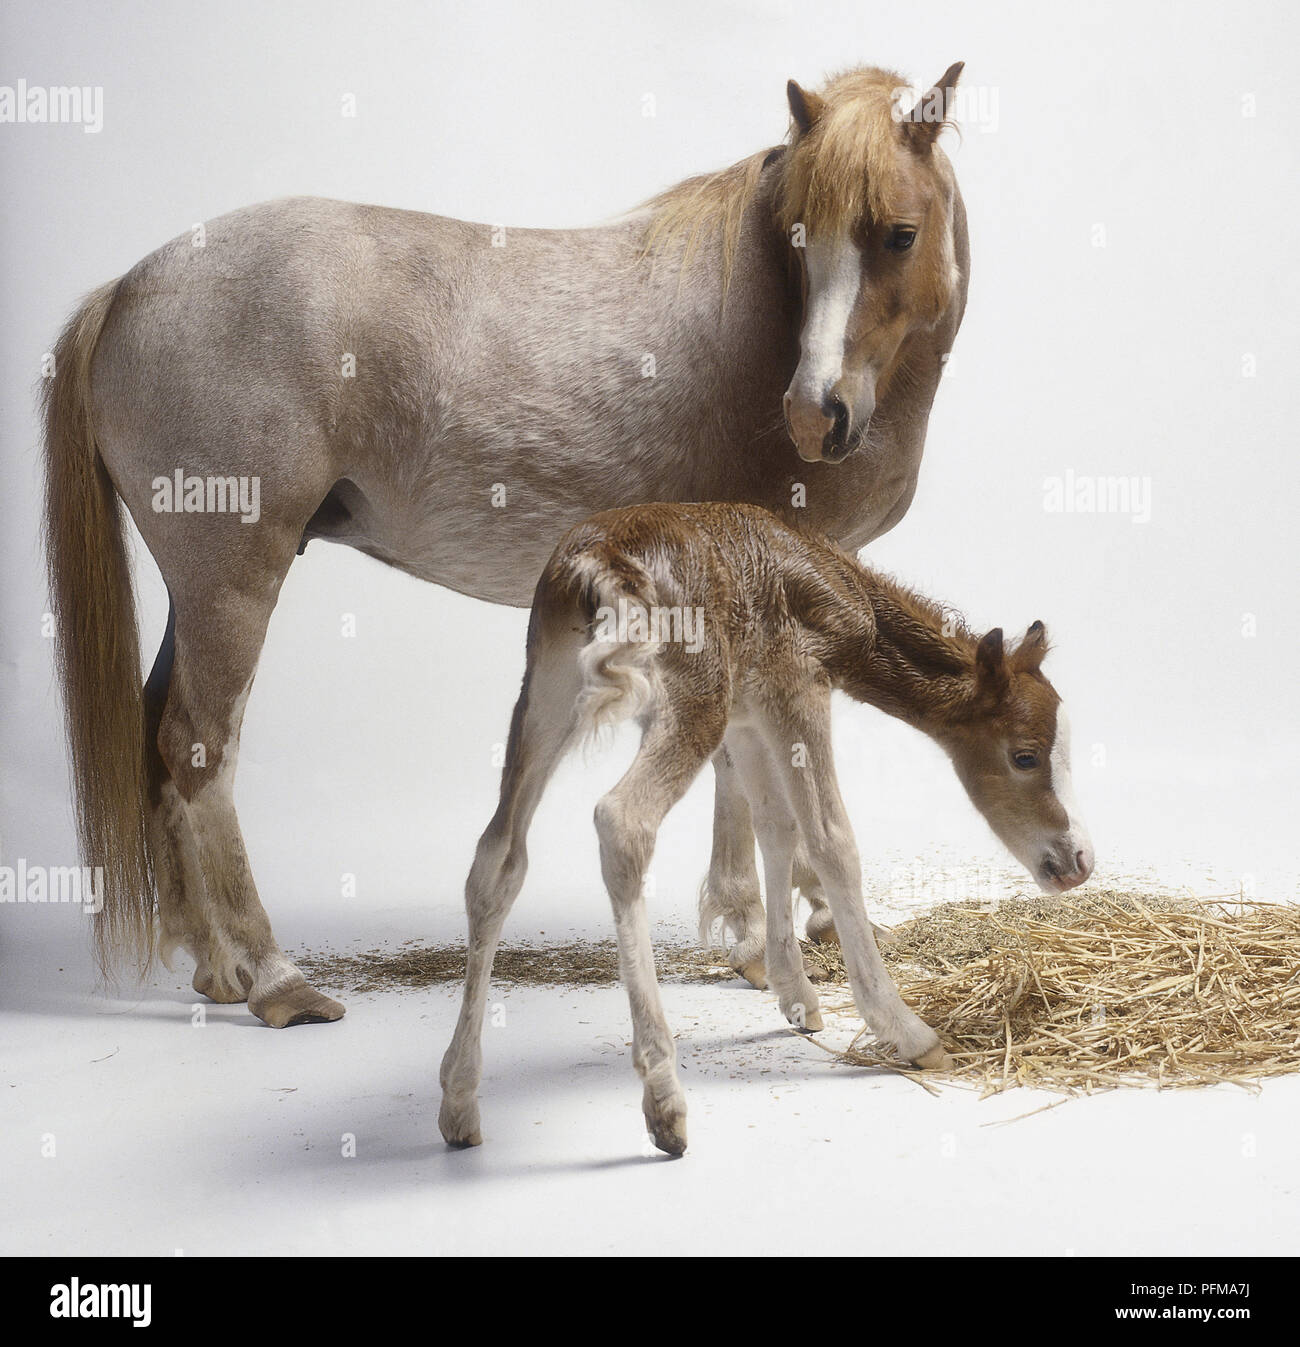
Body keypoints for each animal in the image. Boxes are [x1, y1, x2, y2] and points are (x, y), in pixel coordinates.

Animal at [41, 63, 970, 1027]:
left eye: (898, 235)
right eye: (798, 237)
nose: (815, 412)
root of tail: (128, 289)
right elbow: (751, 774)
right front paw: (757, 931)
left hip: (194, 592)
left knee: (159, 736)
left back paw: (213, 963)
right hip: (231, 585)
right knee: (200, 748)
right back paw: (272, 975)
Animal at [439, 502, 1093, 1153]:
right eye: (1025, 756)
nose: (1079, 860)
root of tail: (597, 559)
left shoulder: (750, 714)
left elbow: (776, 826)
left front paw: (793, 994)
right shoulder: (797, 682)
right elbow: (830, 838)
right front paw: (907, 1031)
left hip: (546, 694)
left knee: (497, 857)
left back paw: (459, 1101)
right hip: (690, 697)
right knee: (621, 820)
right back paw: (664, 1098)